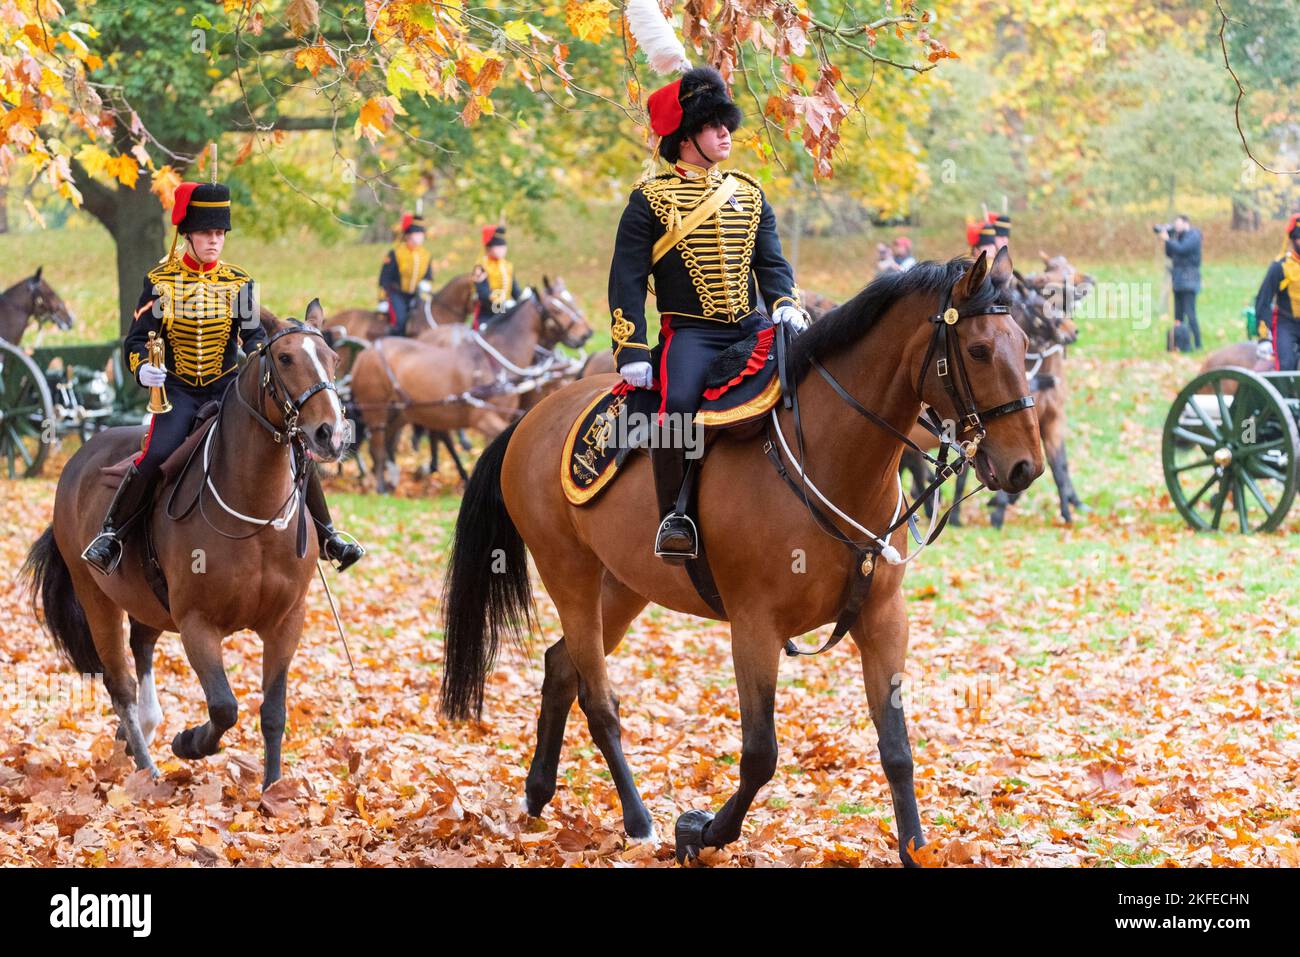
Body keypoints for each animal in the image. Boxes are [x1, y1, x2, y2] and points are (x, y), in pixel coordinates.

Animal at [21, 301, 345, 786]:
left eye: (334, 359)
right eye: (285, 358)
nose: (331, 434)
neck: (255, 509)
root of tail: (79, 459)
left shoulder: (287, 622)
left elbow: (273, 711)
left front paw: (273, 789)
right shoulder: (197, 624)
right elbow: (224, 707)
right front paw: (189, 742)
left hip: (146, 601)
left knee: (141, 647)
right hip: (96, 597)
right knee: (120, 684)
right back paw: (146, 764)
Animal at [350, 283, 591, 492]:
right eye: (556, 308)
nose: (587, 334)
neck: (495, 362)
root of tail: (366, 352)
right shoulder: (484, 417)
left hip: (404, 410)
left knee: (391, 438)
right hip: (377, 410)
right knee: (378, 445)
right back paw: (382, 485)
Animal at [438, 248, 1043, 865]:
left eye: (1023, 342)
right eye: (978, 350)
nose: (1026, 466)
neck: (823, 454)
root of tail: (532, 416)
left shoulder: (882, 618)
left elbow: (896, 746)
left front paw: (916, 847)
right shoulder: (755, 626)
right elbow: (759, 755)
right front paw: (701, 831)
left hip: (625, 586)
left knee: (562, 666)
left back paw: (538, 794)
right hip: (570, 575)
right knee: (597, 698)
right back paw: (638, 820)